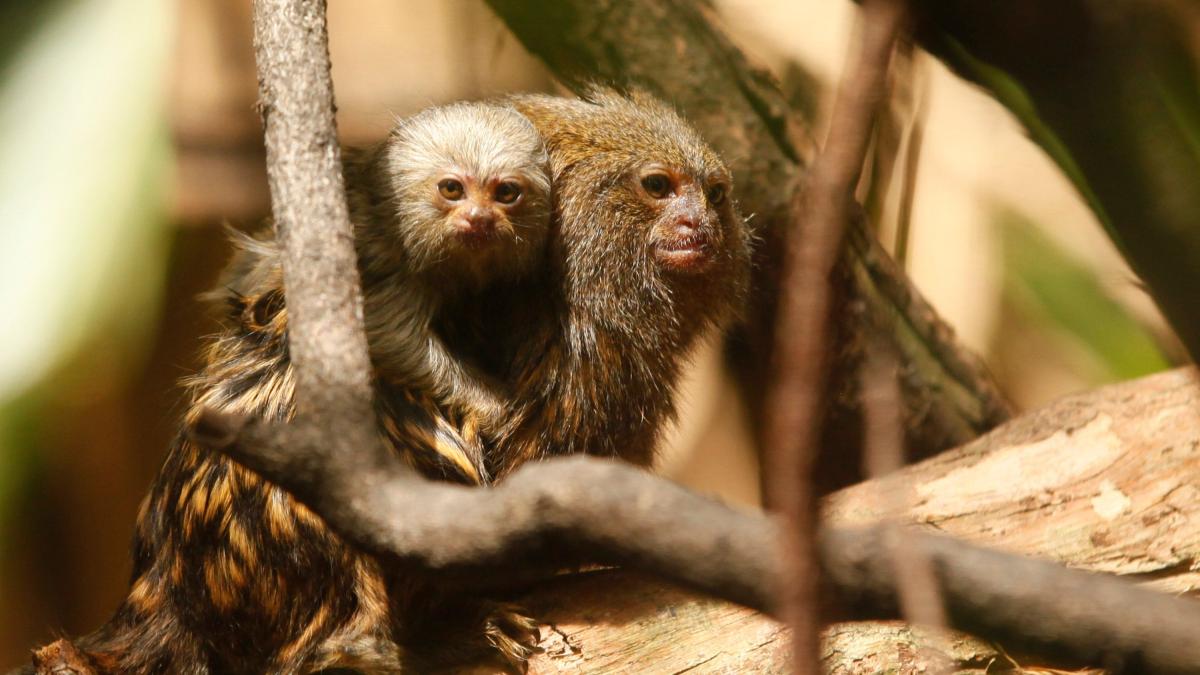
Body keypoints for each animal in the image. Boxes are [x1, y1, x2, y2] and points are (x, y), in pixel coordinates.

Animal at [29, 101, 551, 674]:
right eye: (452, 189)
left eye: (506, 192)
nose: (479, 218)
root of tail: (170, 586)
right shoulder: (381, 270)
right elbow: (388, 338)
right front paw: (496, 408)